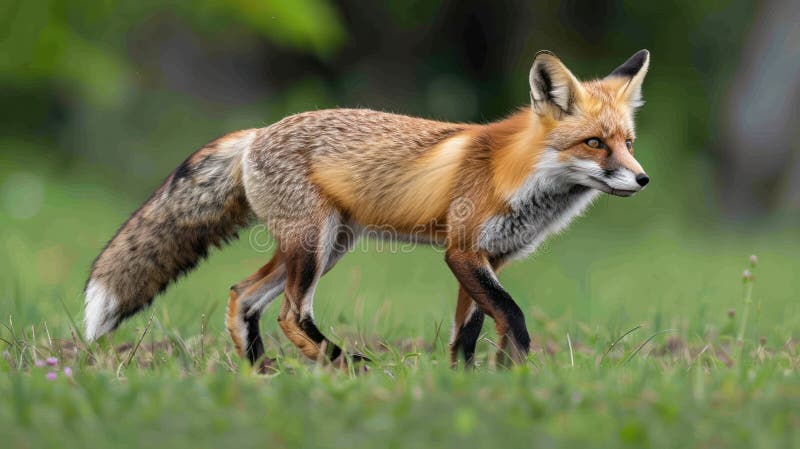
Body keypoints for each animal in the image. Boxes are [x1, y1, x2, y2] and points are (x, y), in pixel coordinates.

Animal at [84, 50, 651, 369]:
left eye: (628, 142)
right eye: (595, 143)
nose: (643, 179)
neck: (518, 174)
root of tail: (257, 133)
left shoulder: (490, 259)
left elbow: (468, 332)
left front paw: (468, 383)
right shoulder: (462, 251)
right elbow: (512, 315)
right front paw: (517, 374)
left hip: (326, 245)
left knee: (243, 296)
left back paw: (261, 374)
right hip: (314, 246)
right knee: (291, 313)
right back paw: (347, 363)